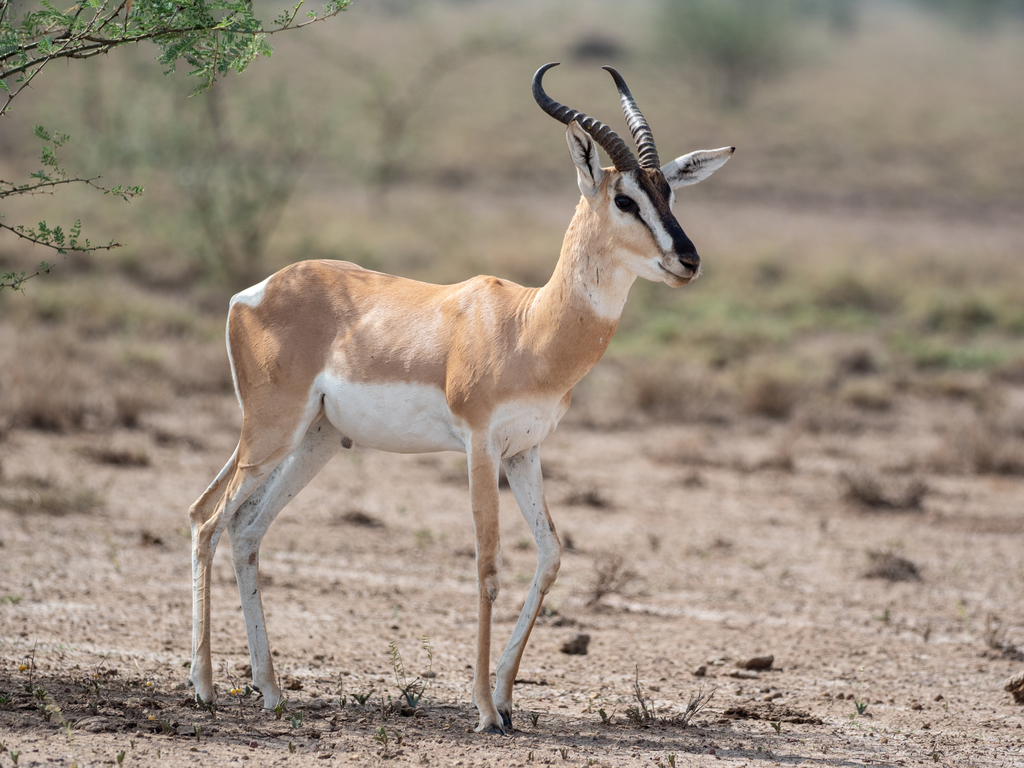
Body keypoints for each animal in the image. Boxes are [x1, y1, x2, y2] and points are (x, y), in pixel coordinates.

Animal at [188, 62, 733, 734]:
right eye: (624, 198)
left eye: (669, 194)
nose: (688, 259)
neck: (527, 326)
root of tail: (255, 292)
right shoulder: (480, 446)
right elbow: (488, 564)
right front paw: (483, 709)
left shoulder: (525, 451)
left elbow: (550, 555)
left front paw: (506, 698)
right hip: (269, 431)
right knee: (208, 519)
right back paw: (205, 688)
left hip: (315, 441)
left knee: (244, 527)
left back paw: (270, 691)